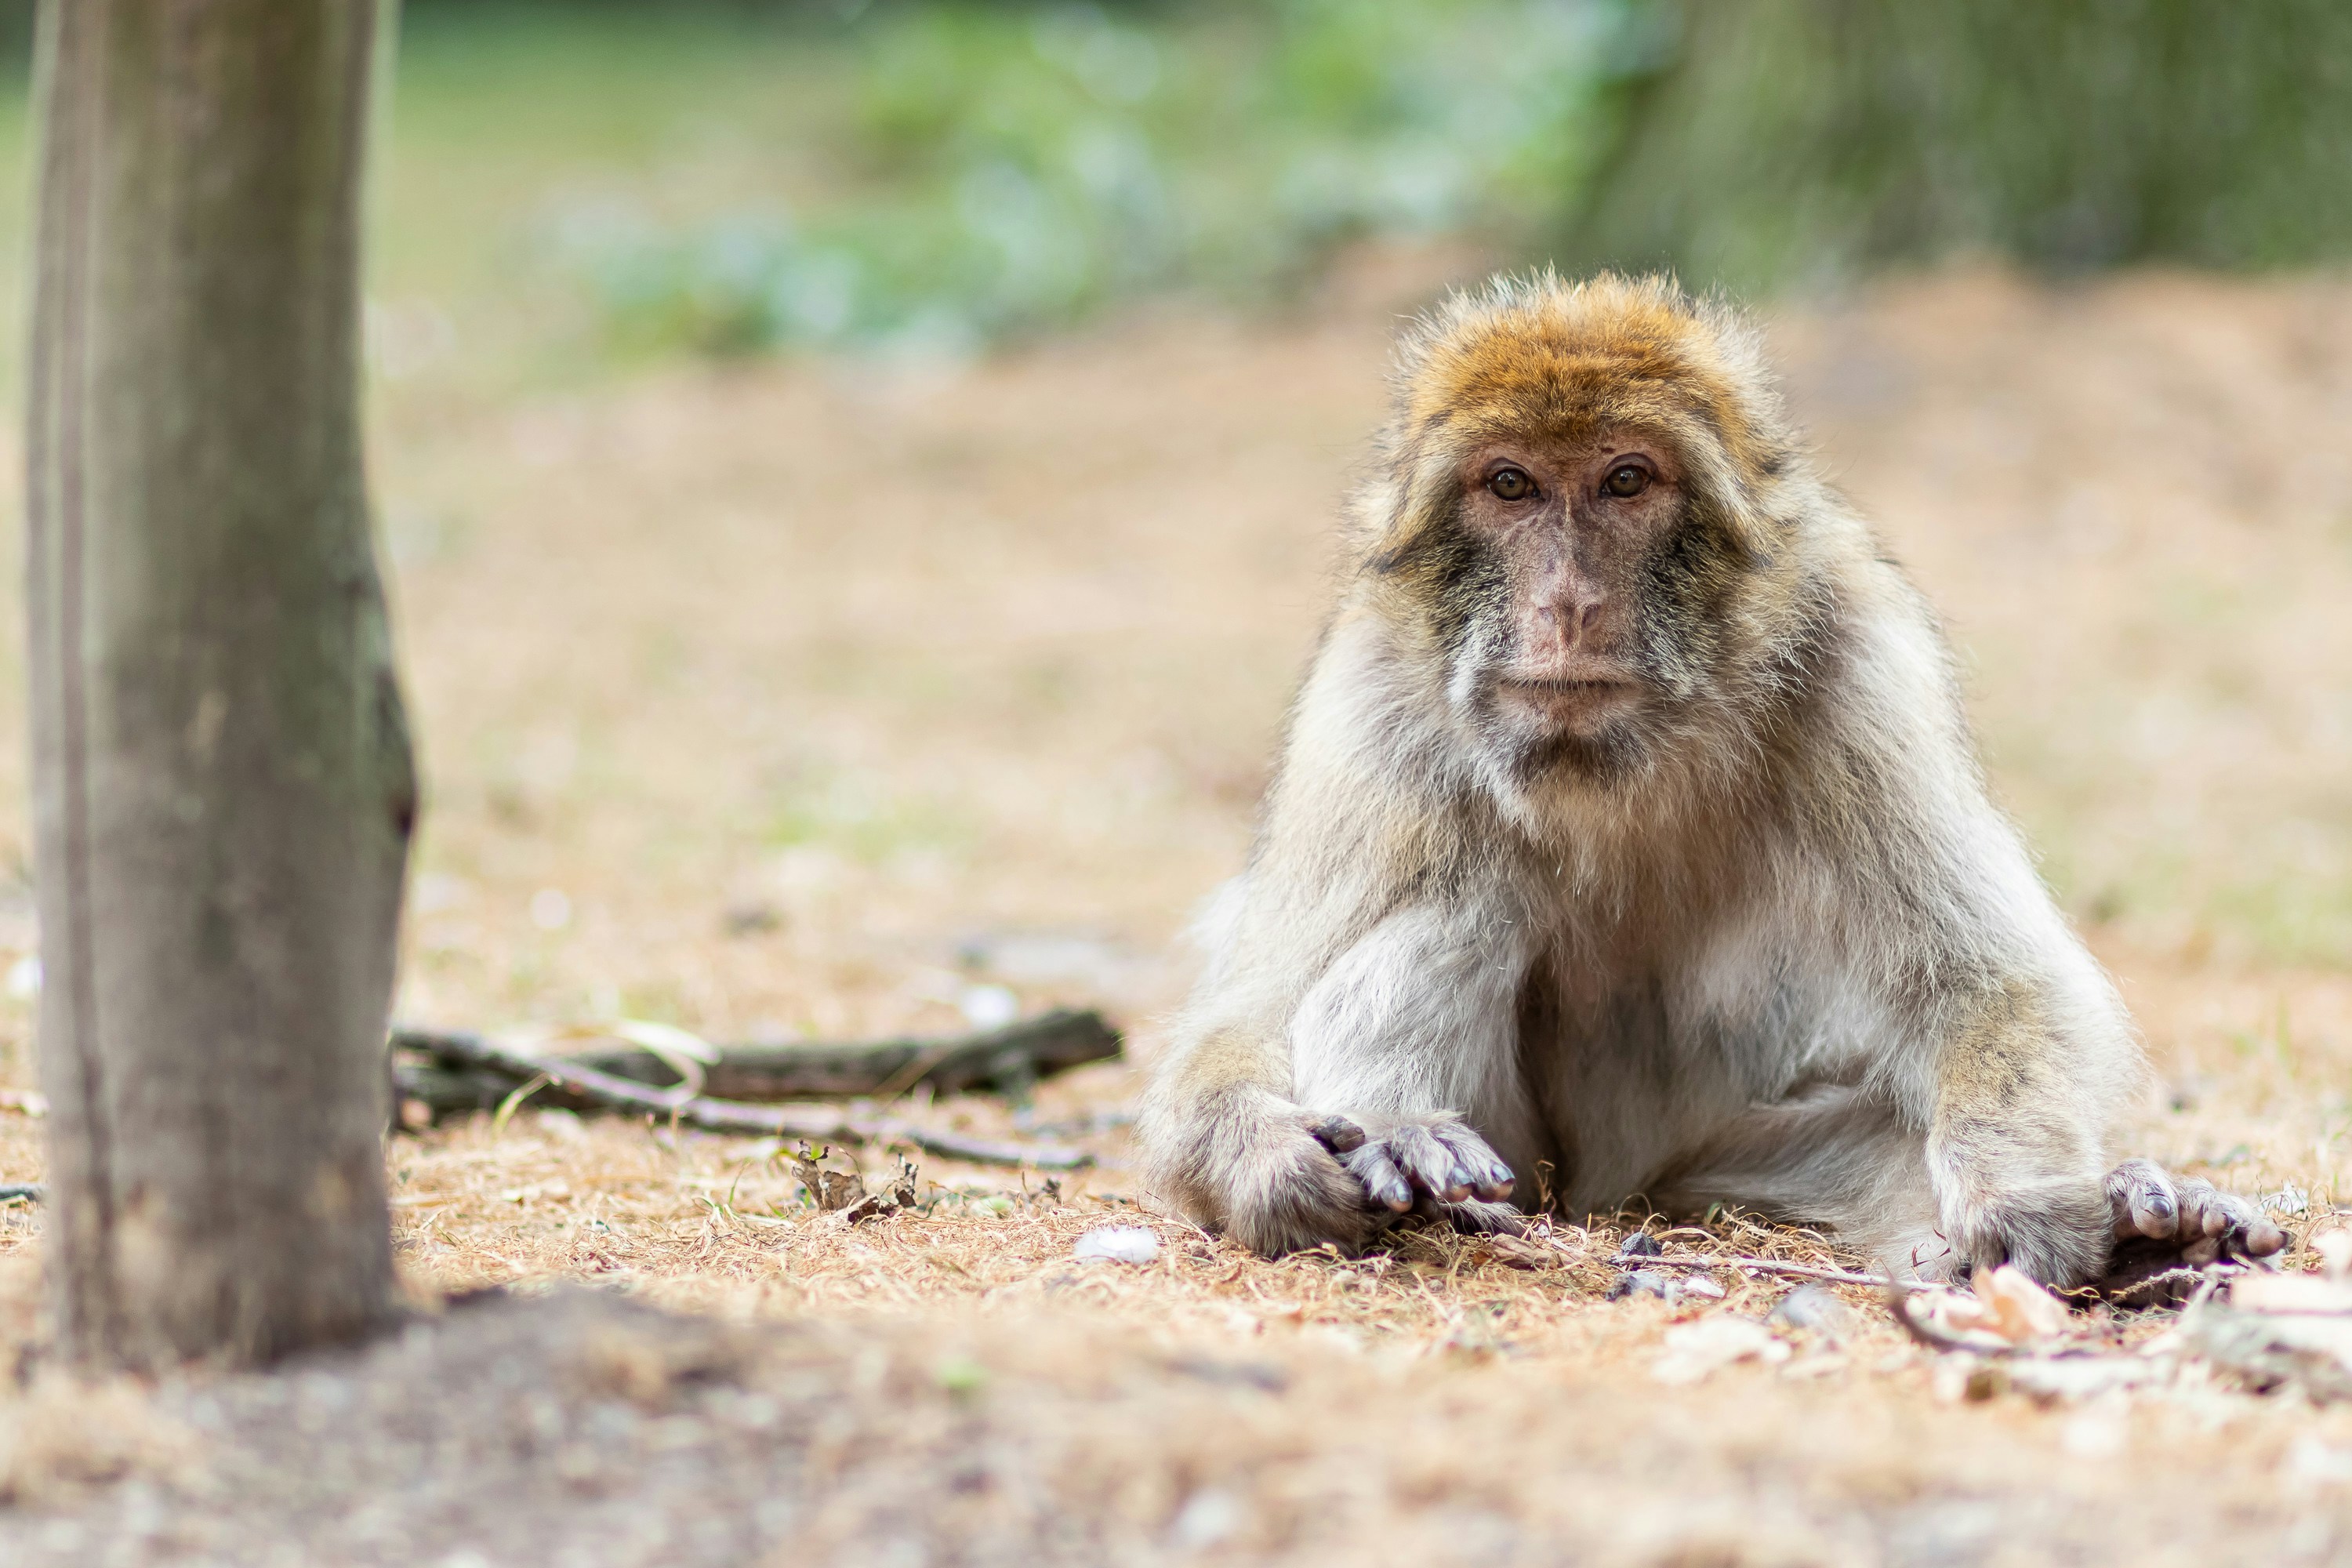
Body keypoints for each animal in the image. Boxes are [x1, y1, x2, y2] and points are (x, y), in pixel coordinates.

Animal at [1138, 272, 2285, 1286]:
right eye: (1510, 485)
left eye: (1625, 481)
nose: (1568, 604)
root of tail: (1604, 1196)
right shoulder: (1367, 699)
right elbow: (1239, 1025)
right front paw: (1276, 1158)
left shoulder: (1859, 658)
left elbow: (1985, 982)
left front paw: (2026, 1195)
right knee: (1465, 906)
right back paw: (1417, 1159)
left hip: (1716, 1159)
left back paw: (2143, 1233)